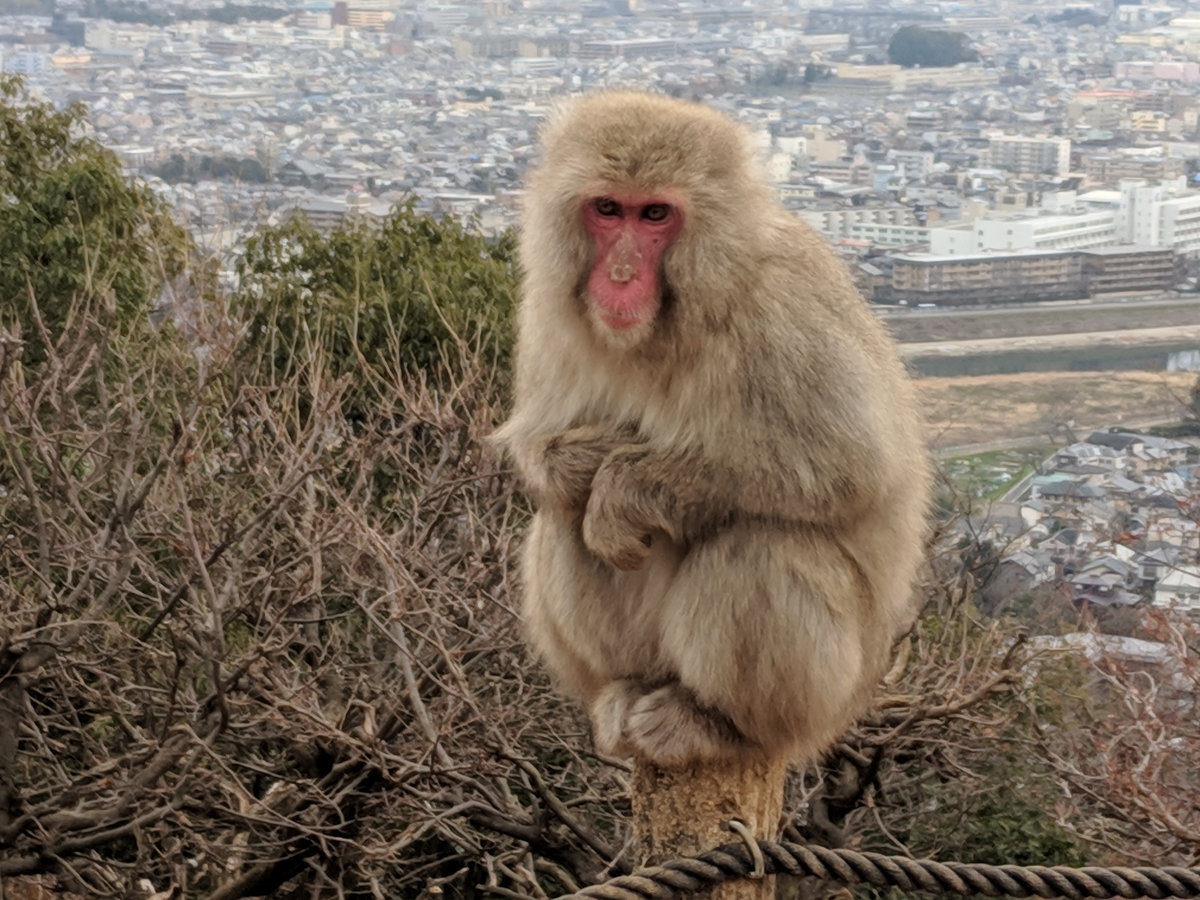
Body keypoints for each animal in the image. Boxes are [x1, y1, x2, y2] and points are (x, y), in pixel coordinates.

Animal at [492, 92, 931, 768]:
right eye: (607, 209)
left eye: (655, 214)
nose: (621, 274)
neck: (669, 323)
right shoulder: (545, 310)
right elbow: (535, 444)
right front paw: (580, 460)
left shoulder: (780, 310)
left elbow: (850, 468)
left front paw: (625, 485)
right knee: (564, 519)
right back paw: (627, 687)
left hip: (828, 696)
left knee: (761, 543)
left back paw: (714, 721)